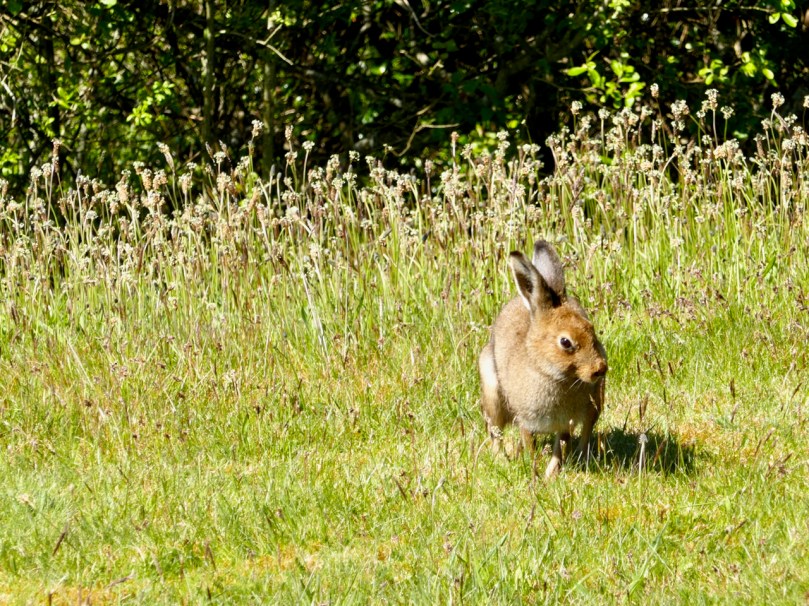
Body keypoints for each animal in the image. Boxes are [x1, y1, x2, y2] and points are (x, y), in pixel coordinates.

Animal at [478, 240, 607, 478]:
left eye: (591, 329)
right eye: (565, 342)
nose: (600, 369)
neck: (552, 374)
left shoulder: (565, 422)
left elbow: (560, 445)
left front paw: (551, 474)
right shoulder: (527, 419)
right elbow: (529, 443)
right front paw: (535, 471)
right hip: (492, 394)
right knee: (496, 433)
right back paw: (501, 459)